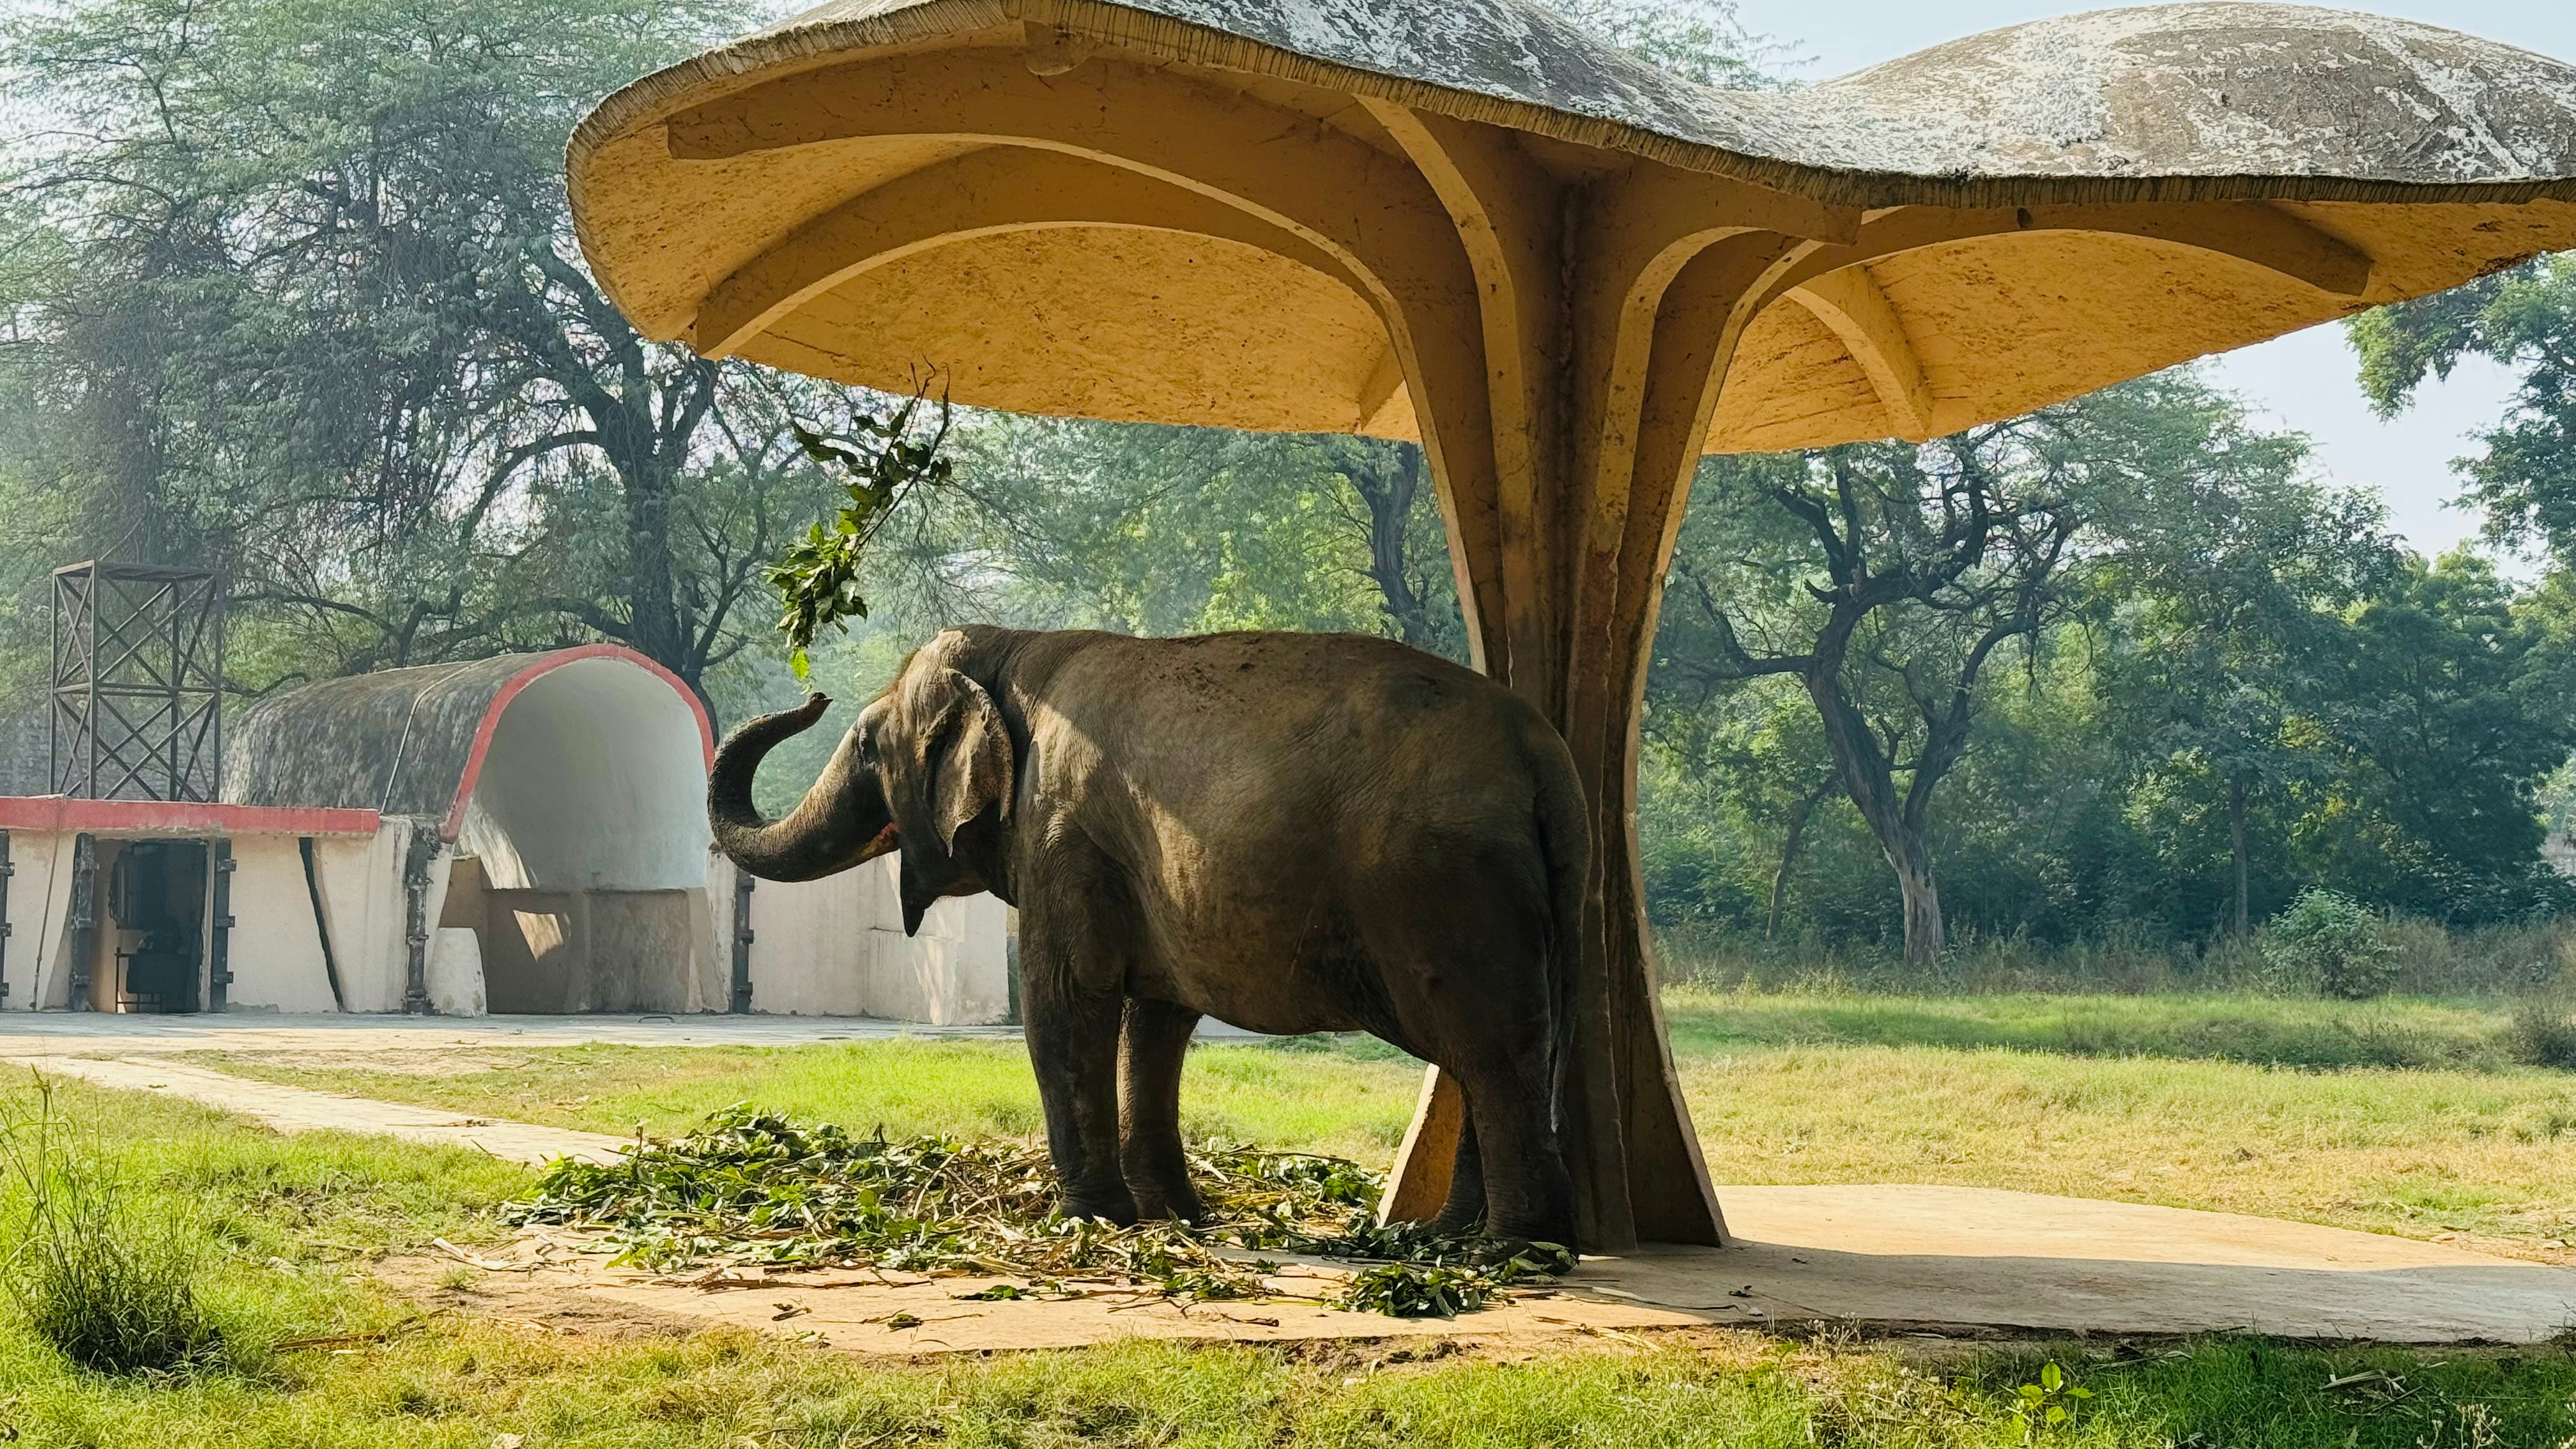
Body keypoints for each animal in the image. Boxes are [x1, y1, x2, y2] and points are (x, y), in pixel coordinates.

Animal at [708, 626, 1585, 1250]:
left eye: (863, 746)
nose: (812, 692)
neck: (1016, 645)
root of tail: (1545, 753)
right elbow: (1157, 1020)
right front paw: (1176, 1217)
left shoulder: (1061, 834)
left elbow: (1066, 999)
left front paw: (1092, 1221)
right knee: (1490, 1052)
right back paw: (1451, 1238)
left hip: (1444, 887)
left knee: (1489, 1050)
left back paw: (1510, 1251)